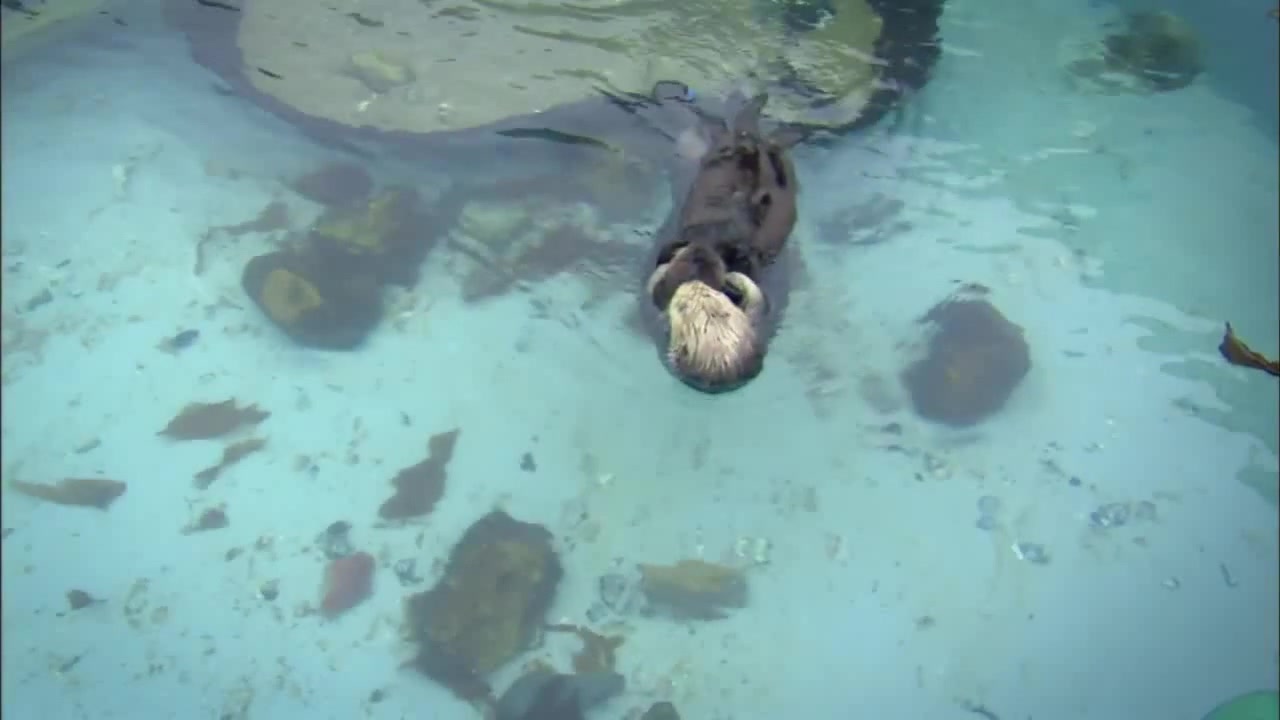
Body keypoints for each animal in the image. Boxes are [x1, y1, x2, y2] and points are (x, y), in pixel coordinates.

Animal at [641, 93, 801, 393]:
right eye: (683, 306)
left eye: (724, 307)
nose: (699, 253)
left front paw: (740, 270)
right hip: (729, 152)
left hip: (764, 159)